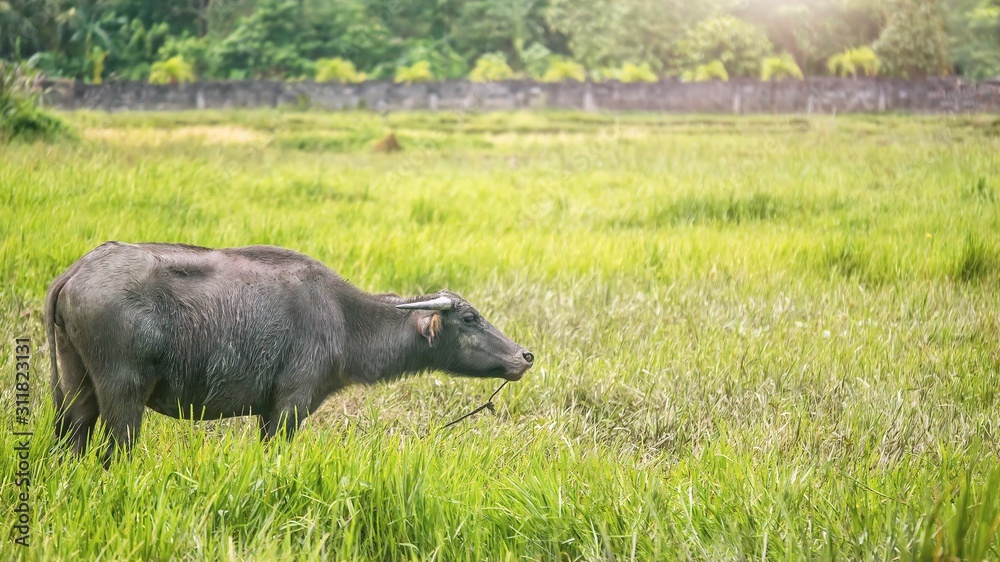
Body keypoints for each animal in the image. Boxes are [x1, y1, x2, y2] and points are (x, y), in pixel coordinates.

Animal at [46, 242, 534, 461]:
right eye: (469, 318)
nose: (524, 356)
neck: (342, 317)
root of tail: (77, 271)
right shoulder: (290, 407)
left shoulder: (268, 412)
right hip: (123, 394)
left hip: (75, 387)